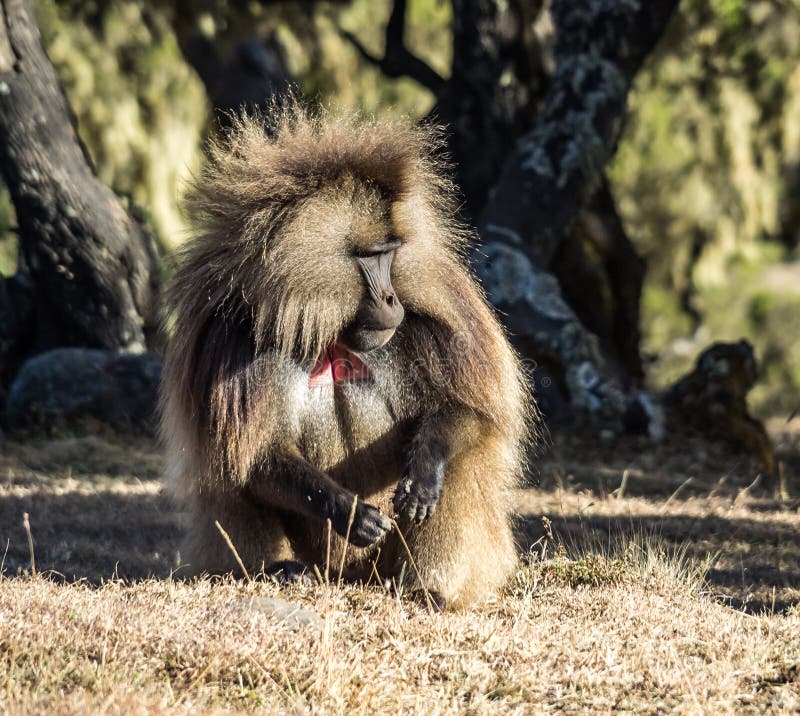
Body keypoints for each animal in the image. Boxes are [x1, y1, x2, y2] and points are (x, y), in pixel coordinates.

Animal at [160, 103, 533, 609]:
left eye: (392, 253)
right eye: (371, 256)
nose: (392, 299)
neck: (332, 330)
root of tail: (349, 577)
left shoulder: (441, 325)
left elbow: (465, 411)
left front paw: (423, 473)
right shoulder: (229, 337)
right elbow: (253, 454)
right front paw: (350, 512)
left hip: (391, 566)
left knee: (460, 462)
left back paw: (430, 588)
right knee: (228, 461)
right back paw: (279, 570)